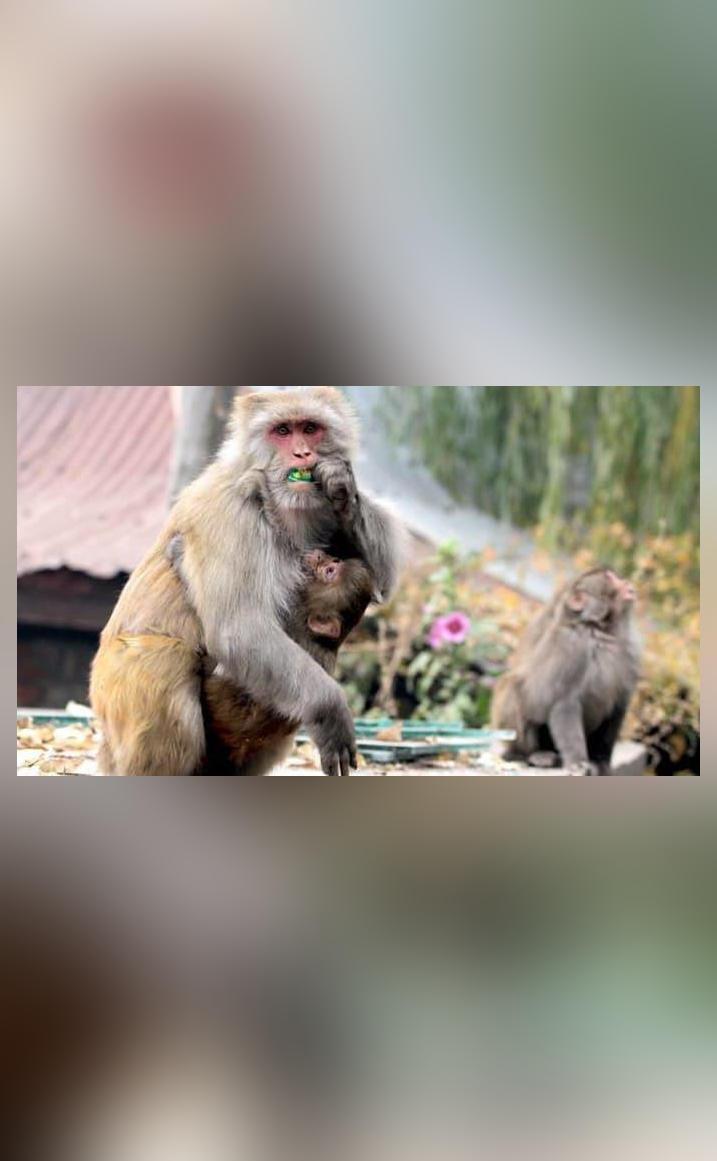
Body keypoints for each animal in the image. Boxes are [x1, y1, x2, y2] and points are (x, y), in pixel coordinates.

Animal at [90, 387, 402, 776]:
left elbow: (383, 576)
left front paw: (342, 490)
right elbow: (239, 627)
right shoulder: (227, 513)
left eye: (310, 428)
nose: (303, 453)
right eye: (283, 431)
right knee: (164, 657)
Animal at [490, 567, 640, 775]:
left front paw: (601, 762)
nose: (625, 581)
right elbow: (564, 701)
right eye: (610, 578)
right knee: (515, 686)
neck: (604, 631)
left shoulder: (630, 654)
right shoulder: (570, 649)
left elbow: (618, 708)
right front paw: (577, 762)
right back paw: (528, 754)